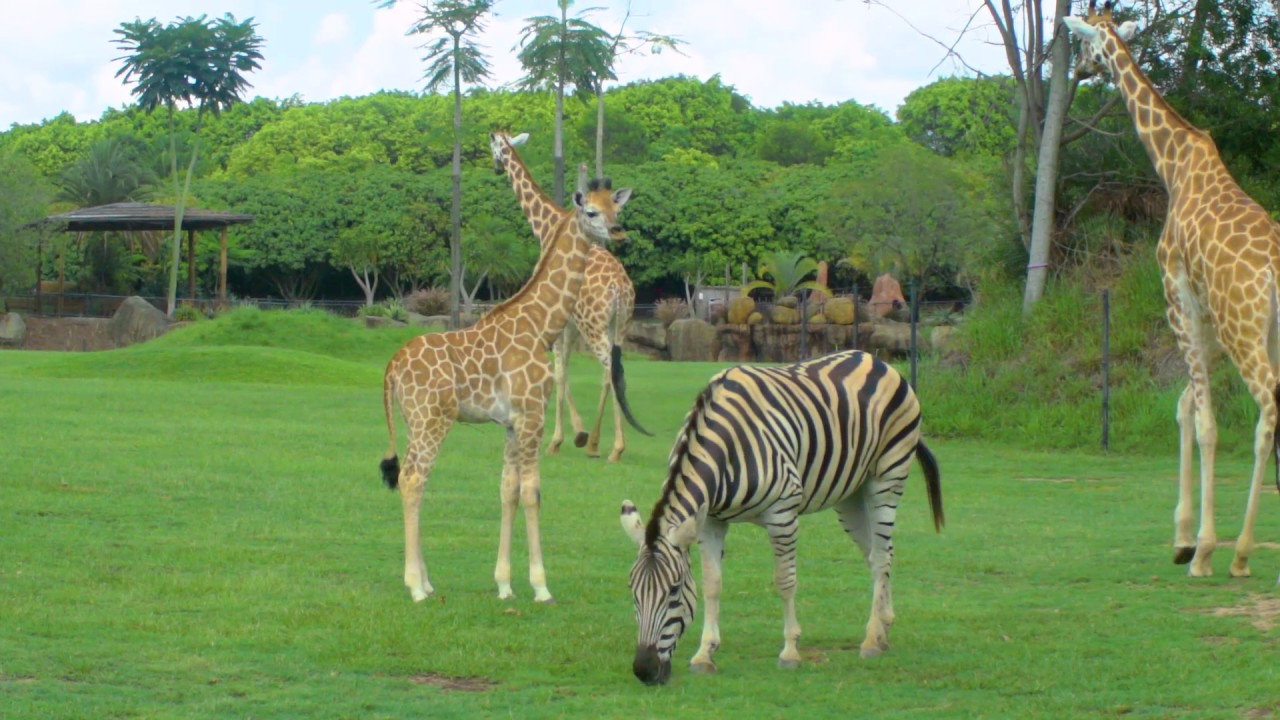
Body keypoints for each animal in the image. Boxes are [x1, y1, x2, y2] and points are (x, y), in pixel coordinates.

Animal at [379, 149, 632, 603]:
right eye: (591, 210)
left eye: (616, 207)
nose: (618, 230)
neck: (539, 323)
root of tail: (391, 367)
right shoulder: (532, 415)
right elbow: (532, 493)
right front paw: (541, 585)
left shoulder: (512, 422)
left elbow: (507, 490)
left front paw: (504, 583)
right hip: (432, 421)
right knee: (412, 479)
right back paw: (416, 587)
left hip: (413, 421)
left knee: (413, 479)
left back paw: (426, 578)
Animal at [488, 132, 651, 463]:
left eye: (493, 146)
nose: (496, 167)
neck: (545, 226)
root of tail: (620, 288)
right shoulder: (569, 323)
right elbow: (566, 370)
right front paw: (580, 435)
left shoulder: (559, 320)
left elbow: (560, 371)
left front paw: (564, 437)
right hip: (620, 324)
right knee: (614, 371)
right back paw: (603, 444)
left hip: (594, 324)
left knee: (608, 369)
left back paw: (611, 446)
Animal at [1064, 1, 1280, 579]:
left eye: (1082, 42)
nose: (1077, 72)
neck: (1175, 163)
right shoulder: (1206, 319)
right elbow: (1185, 407)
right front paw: (1182, 537)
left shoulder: (1177, 298)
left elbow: (1205, 423)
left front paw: (1201, 549)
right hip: (1255, 333)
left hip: (1245, 331)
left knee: (1267, 412)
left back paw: (1241, 553)